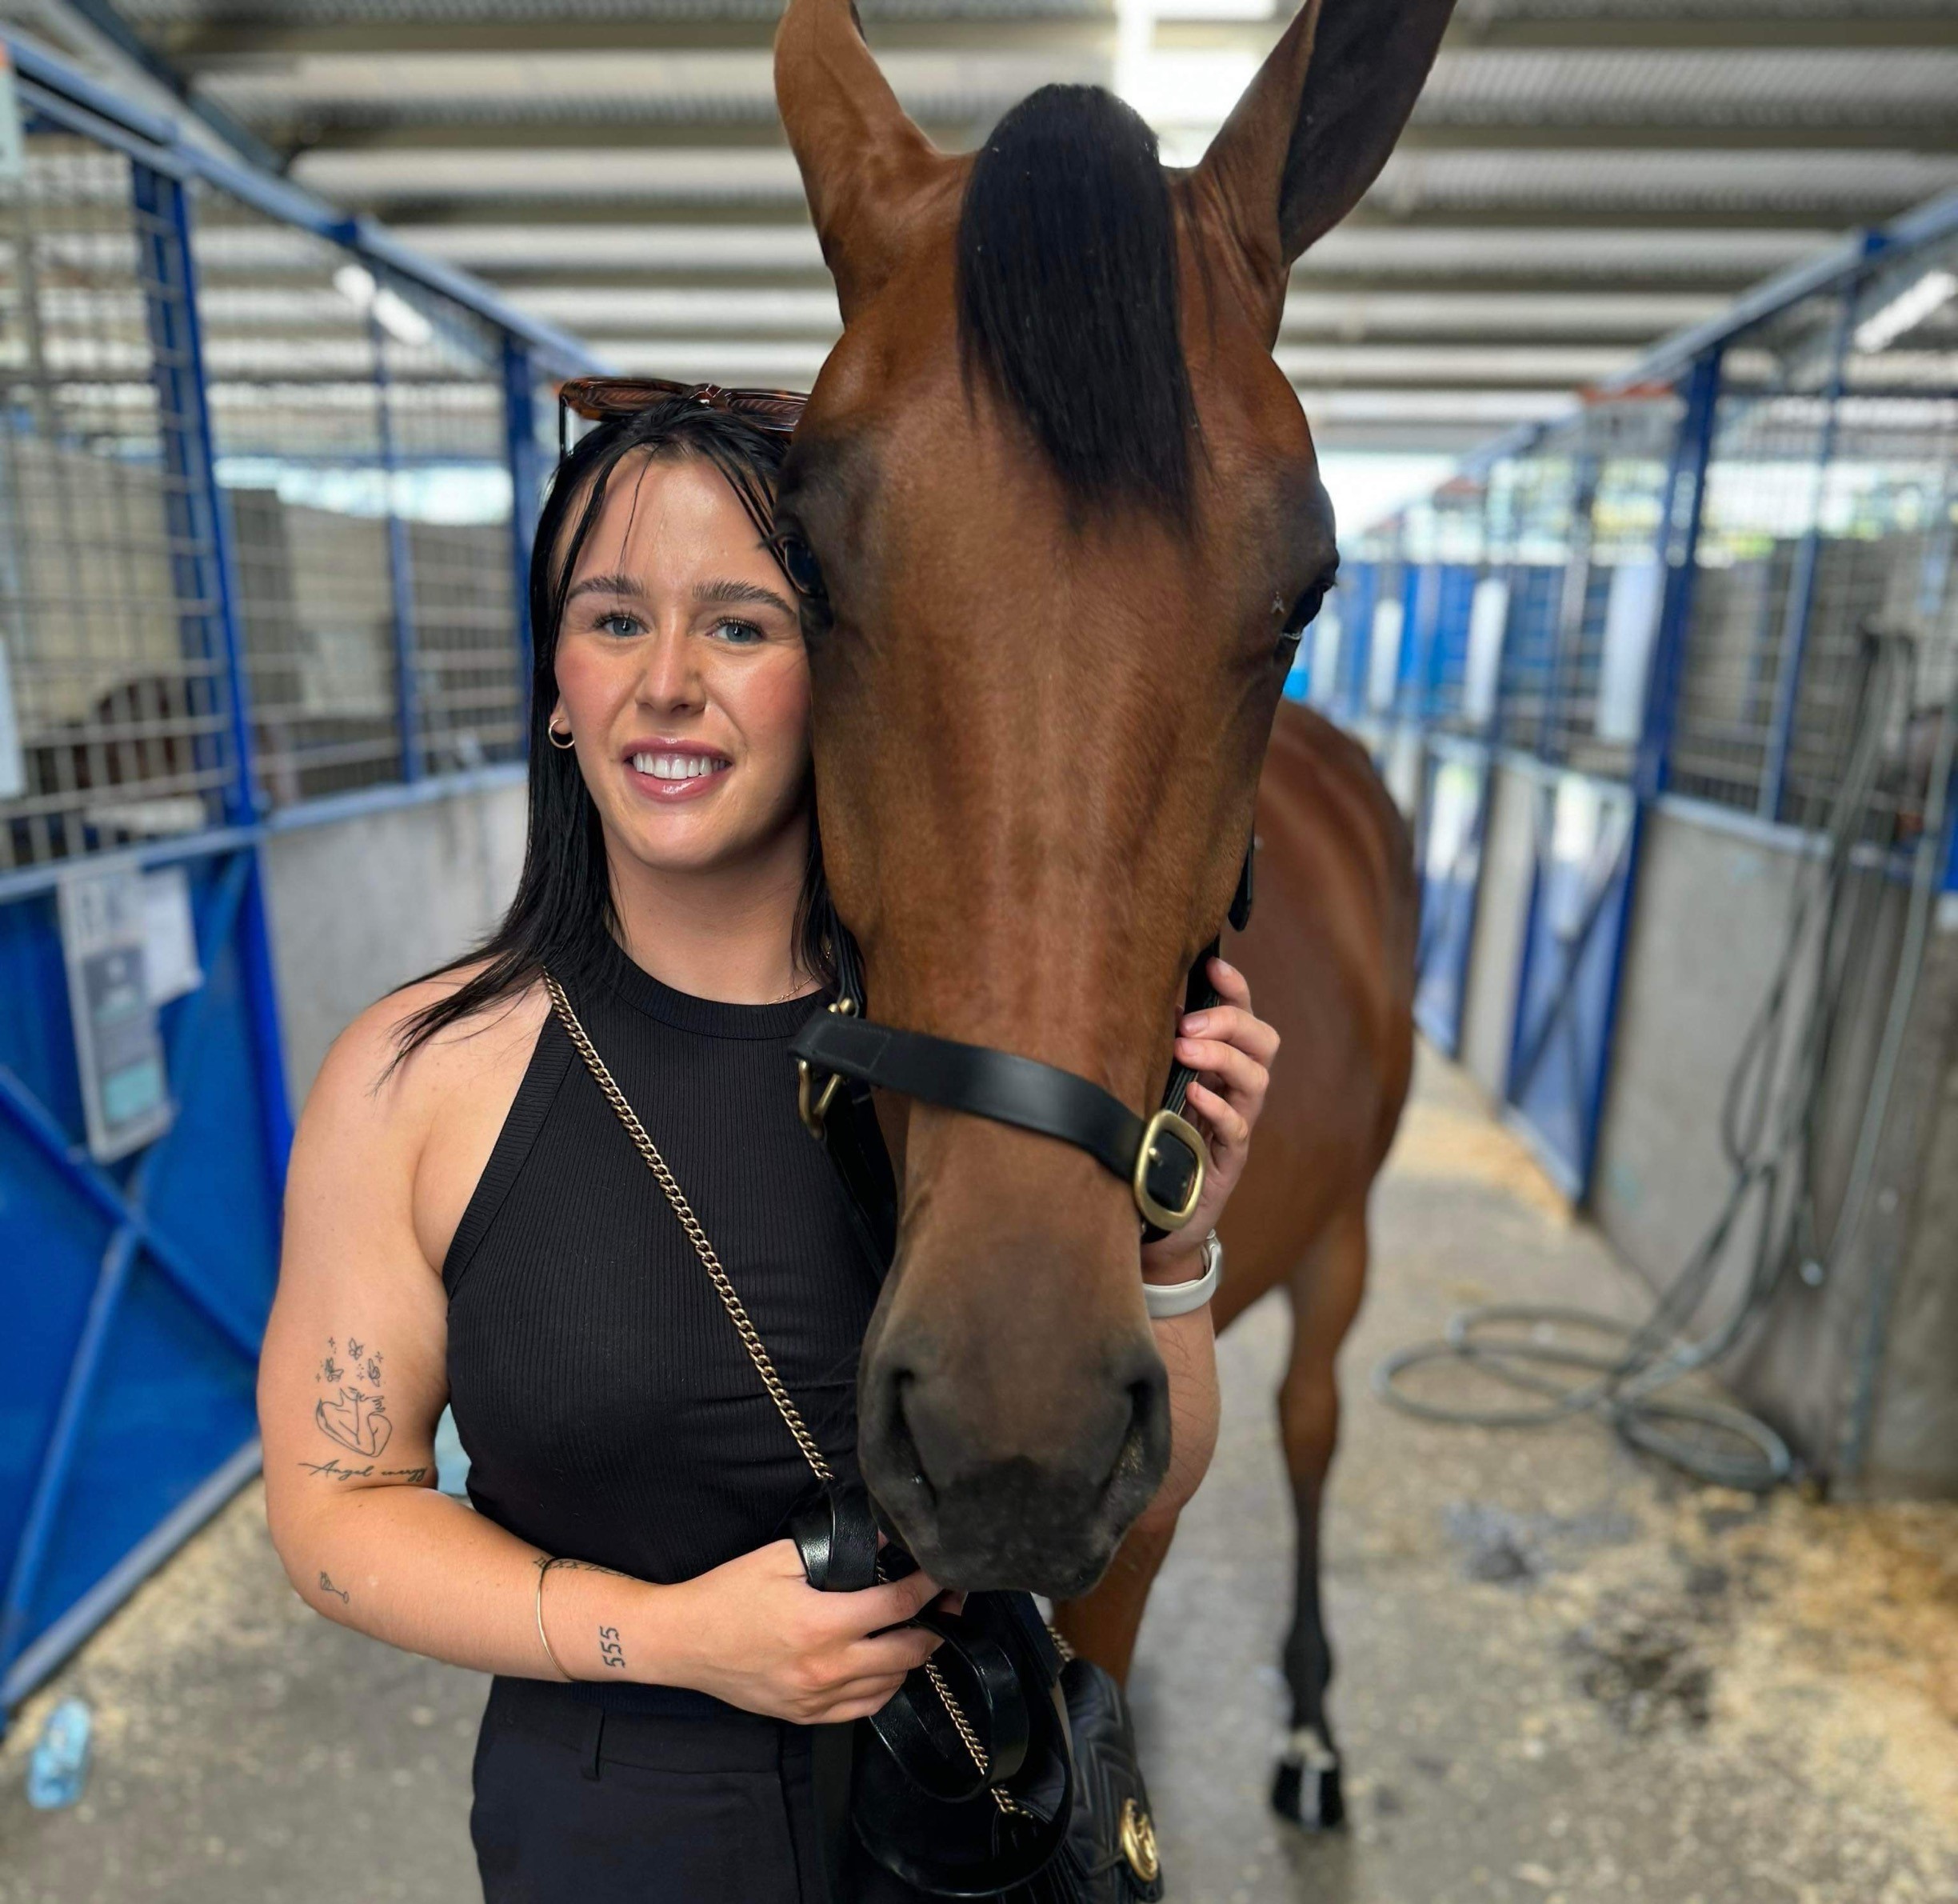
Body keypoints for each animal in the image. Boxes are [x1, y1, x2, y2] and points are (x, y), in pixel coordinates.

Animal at [773, 0, 1435, 1824]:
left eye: (1307, 591)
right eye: (805, 564)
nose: (1013, 1437)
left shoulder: (1121, 1550)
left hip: (1344, 1245)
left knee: (1308, 1418)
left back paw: (1309, 1724)